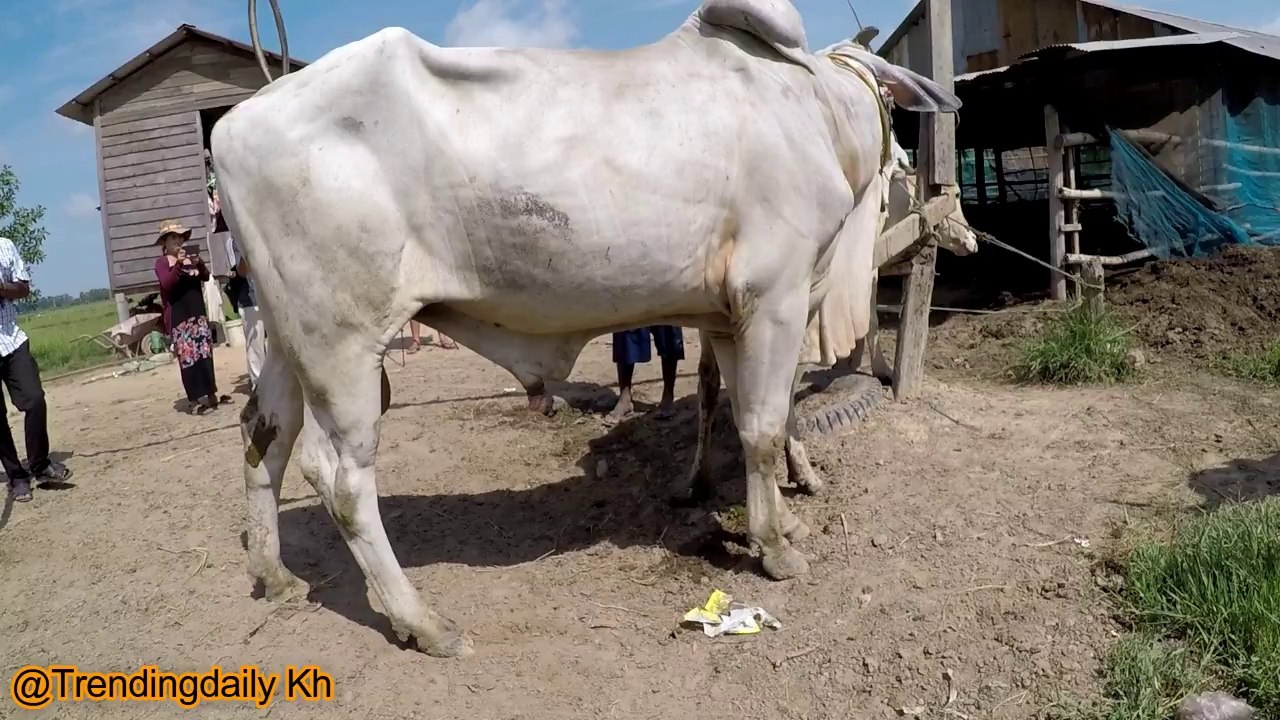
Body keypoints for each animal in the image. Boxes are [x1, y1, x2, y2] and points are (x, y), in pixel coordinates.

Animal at [212, 0, 960, 657]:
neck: (816, 107)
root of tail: (235, 121)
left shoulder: (729, 316)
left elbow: (744, 416)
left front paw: (779, 516)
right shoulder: (776, 296)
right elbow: (765, 429)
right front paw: (776, 548)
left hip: (290, 340)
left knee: (264, 436)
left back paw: (275, 576)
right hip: (342, 344)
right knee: (339, 478)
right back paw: (421, 622)